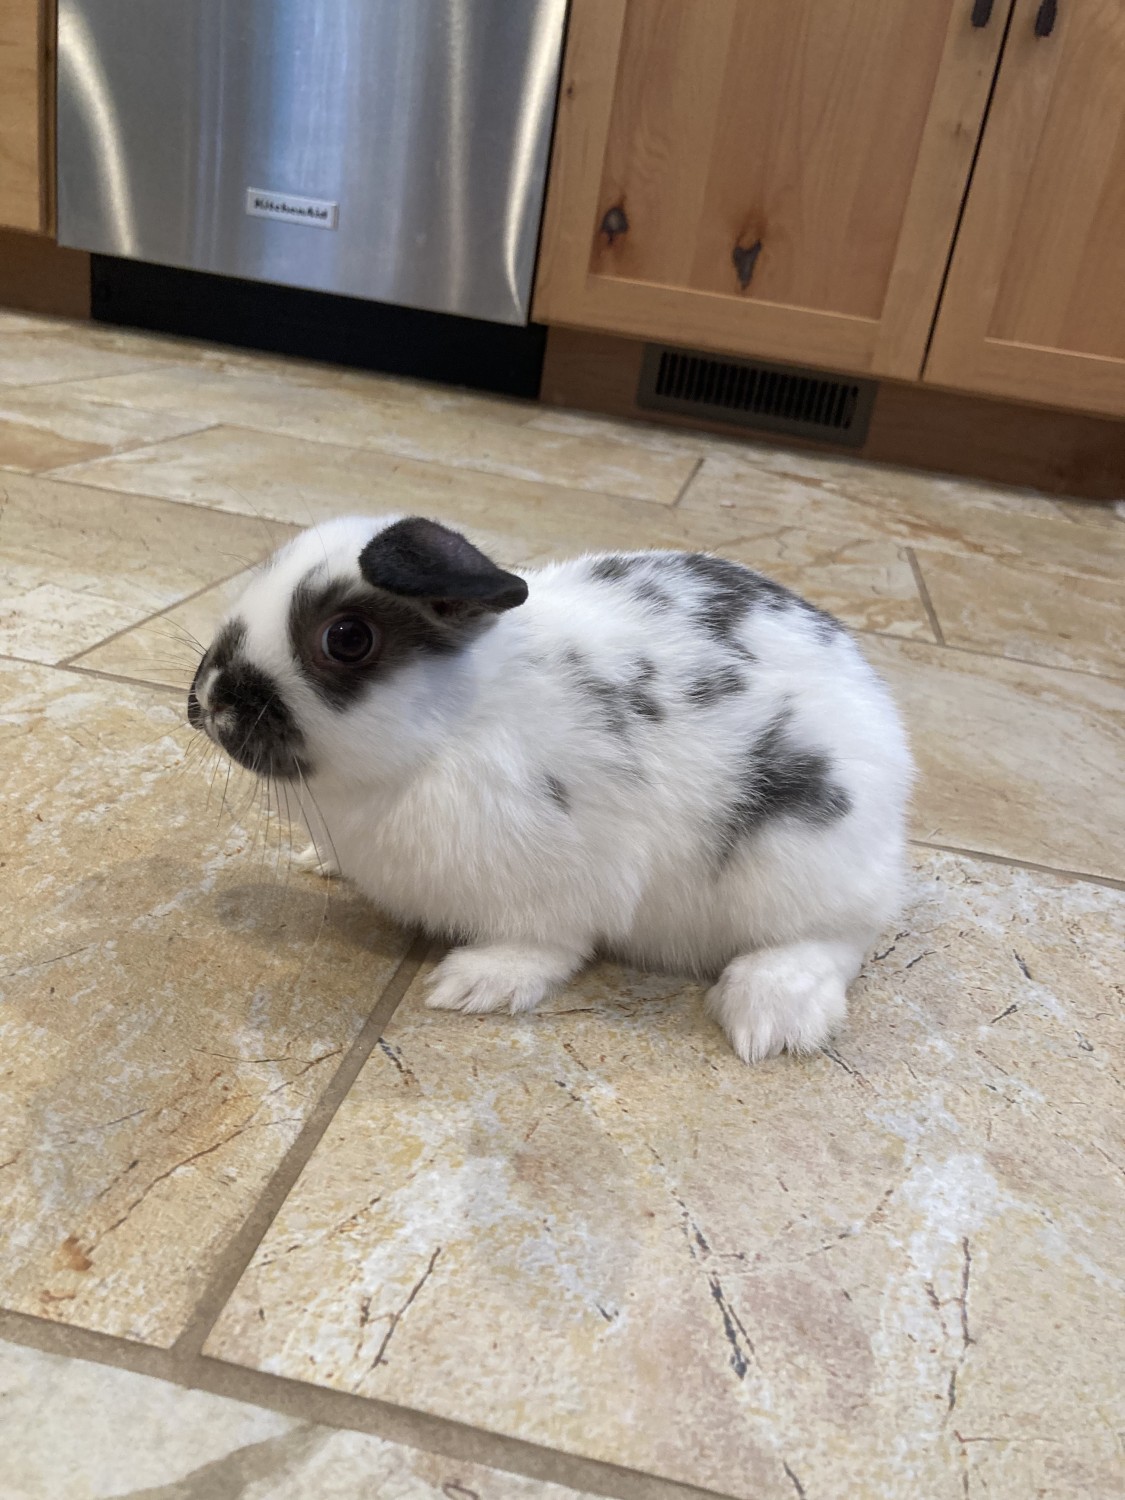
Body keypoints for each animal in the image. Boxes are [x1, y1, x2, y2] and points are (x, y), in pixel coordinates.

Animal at [188, 513, 913, 1064]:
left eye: (346, 638)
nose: (208, 703)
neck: (451, 728)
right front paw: (319, 860)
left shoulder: (554, 889)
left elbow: (544, 948)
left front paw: (471, 984)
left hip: (794, 858)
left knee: (838, 937)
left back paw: (768, 1016)